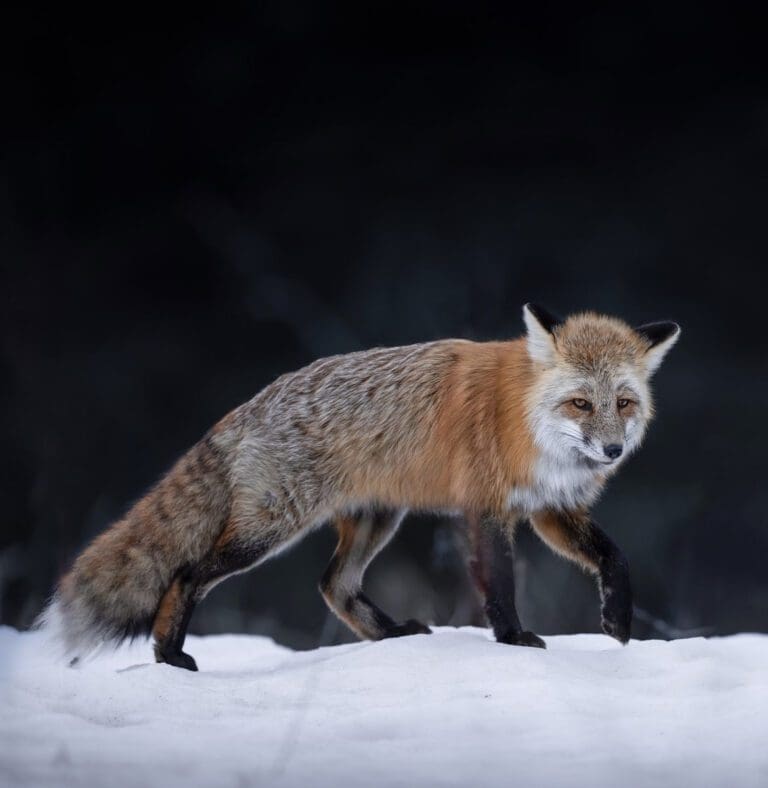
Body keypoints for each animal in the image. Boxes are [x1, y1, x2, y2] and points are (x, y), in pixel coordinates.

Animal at [38, 304, 680, 670]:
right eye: (580, 403)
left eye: (623, 403)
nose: (612, 451)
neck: (526, 422)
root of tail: (244, 408)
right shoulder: (487, 507)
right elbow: (499, 585)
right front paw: (514, 639)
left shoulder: (550, 507)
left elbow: (614, 558)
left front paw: (619, 621)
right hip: (269, 530)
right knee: (187, 575)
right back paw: (168, 654)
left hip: (377, 520)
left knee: (334, 584)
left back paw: (392, 635)